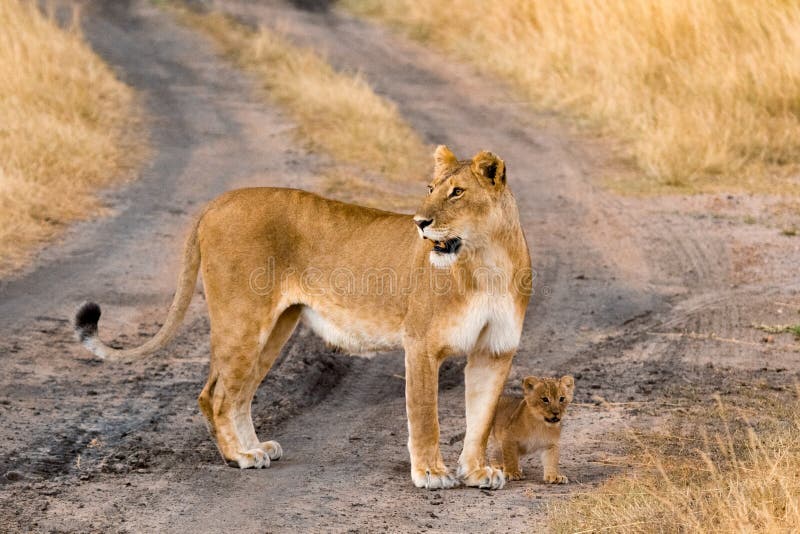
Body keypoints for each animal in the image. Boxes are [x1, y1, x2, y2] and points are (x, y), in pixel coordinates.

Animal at [74, 145, 532, 490]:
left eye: (457, 193)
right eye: (431, 188)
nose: (420, 222)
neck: (487, 261)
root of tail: (218, 201)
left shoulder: (495, 351)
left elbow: (481, 418)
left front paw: (477, 472)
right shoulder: (421, 343)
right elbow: (425, 416)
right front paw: (431, 474)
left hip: (276, 328)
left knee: (235, 394)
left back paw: (254, 448)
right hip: (242, 319)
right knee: (217, 395)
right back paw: (241, 456)